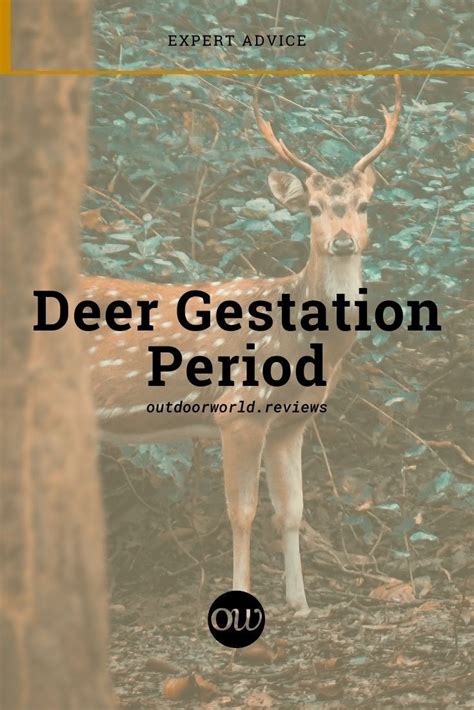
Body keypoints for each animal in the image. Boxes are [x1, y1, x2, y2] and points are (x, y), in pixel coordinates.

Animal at [83, 77, 401, 617]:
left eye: (363, 205)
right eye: (313, 208)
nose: (341, 242)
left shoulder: (290, 422)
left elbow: (292, 512)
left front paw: (301, 604)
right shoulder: (237, 409)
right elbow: (243, 513)